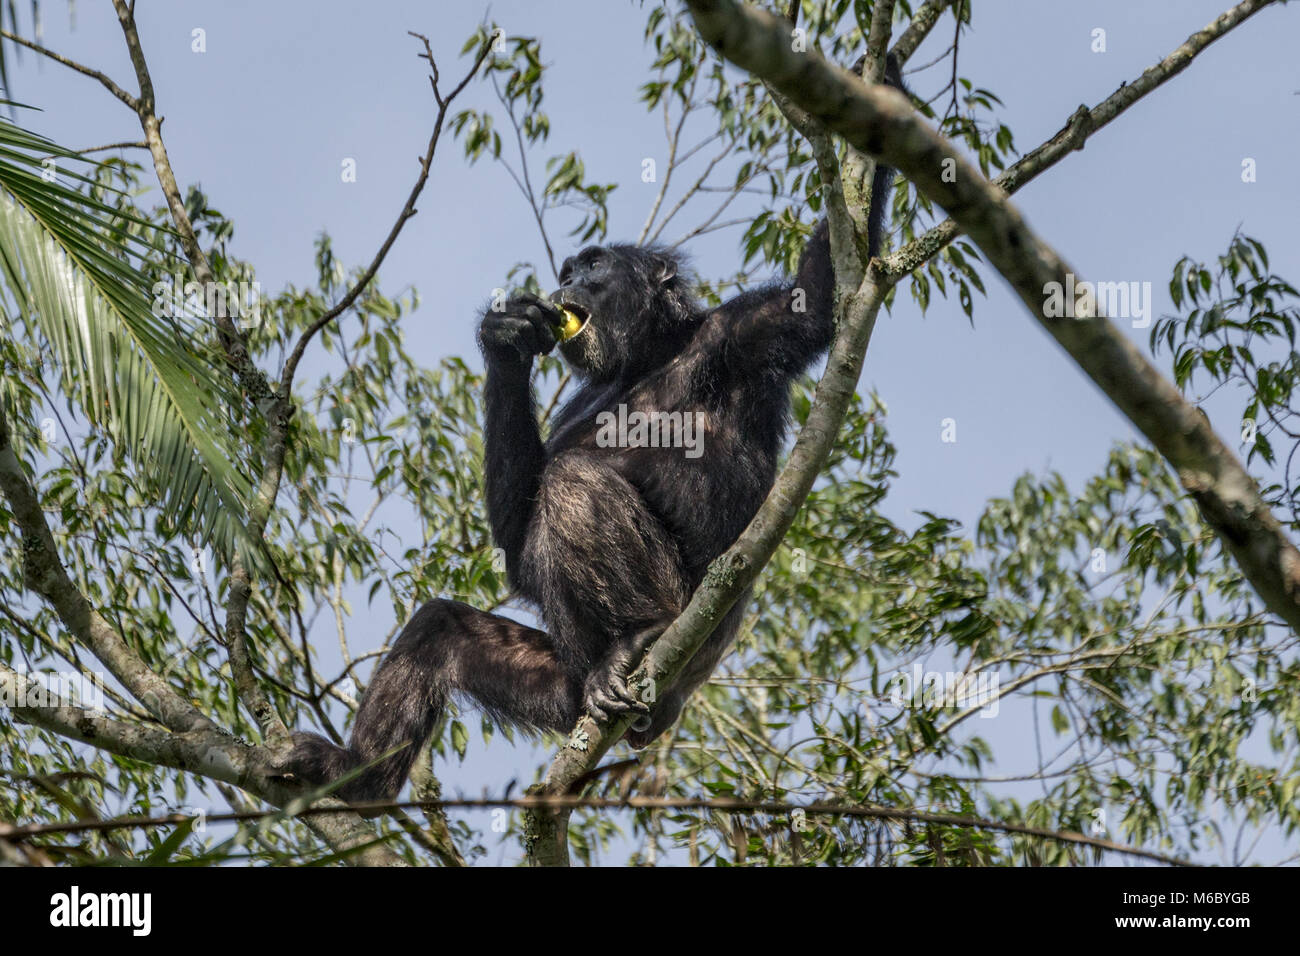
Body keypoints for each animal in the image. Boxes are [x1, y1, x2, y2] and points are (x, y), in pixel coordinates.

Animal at [284, 54, 909, 805]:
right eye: (569, 269)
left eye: (594, 265)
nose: (565, 282)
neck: (650, 353)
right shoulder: (575, 404)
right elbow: (518, 543)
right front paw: (506, 339)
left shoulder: (745, 332)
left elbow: (813, 301)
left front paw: (888, 90)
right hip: (561, 688)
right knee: (443, 629)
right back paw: (355, 775)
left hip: (686, 640)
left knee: (575, 483)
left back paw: (640, 633)